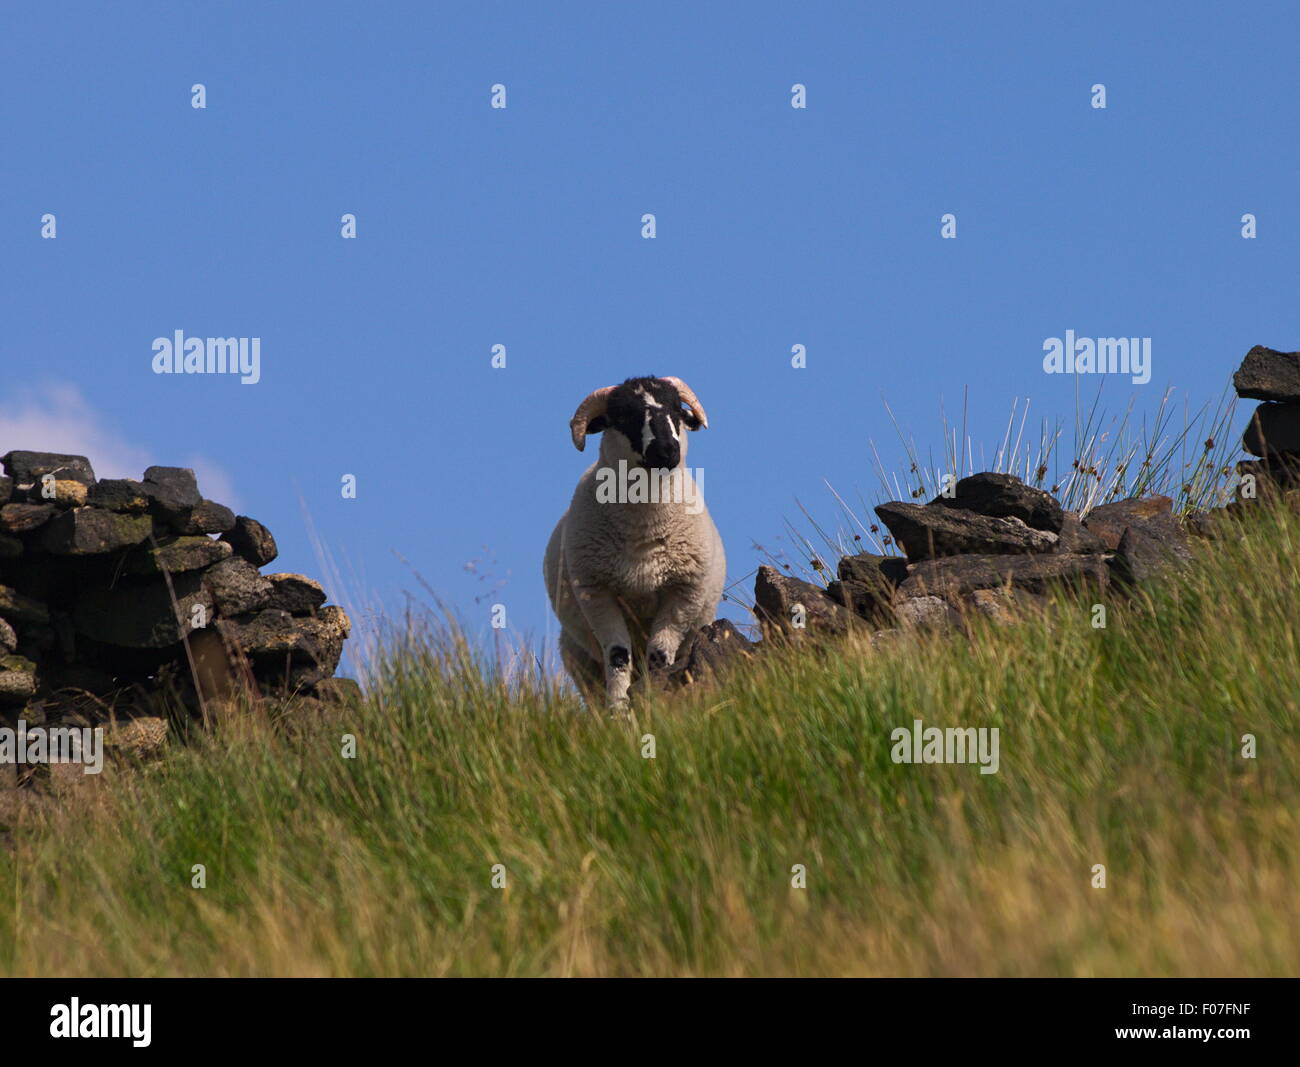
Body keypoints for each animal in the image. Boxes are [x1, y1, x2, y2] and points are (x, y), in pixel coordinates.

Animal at [544, 376, 726, 708]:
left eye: (676, 409)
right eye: (624, 416)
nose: (666, 450)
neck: (644, 529)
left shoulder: (682, 594)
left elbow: (660, 653)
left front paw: (655, 696)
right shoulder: (596, 593)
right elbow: (617, 655)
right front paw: (619, 709)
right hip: (579, 658)